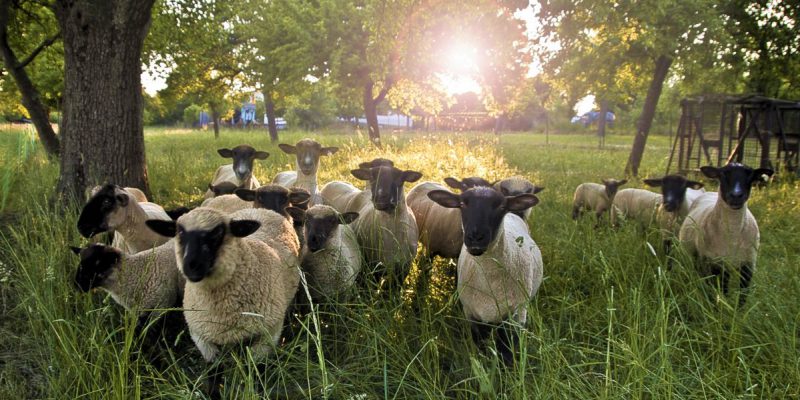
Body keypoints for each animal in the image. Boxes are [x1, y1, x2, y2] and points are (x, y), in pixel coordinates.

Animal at [145, 207, 300, 363]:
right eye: (180, 233)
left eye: (218, 232)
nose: (191, 266)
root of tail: (259, 209)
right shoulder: (199, 334)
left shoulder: (271, 332)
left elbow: (255, 362)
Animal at [428, 187, 542, 365]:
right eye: (462, 204)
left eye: (501, 206)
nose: (476, 237)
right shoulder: (473, 316)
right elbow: (481, 348)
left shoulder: (516, 315)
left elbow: (506, 351)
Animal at [678, 163, 773, 306]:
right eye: (722, 175)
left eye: (751, 176)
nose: (736, 195)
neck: (732, 235)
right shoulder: (714, 263)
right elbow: (717, 290)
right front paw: (717, 306)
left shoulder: (748, 265)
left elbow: (743, 295)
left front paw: (737, 309)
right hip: (698, 256)